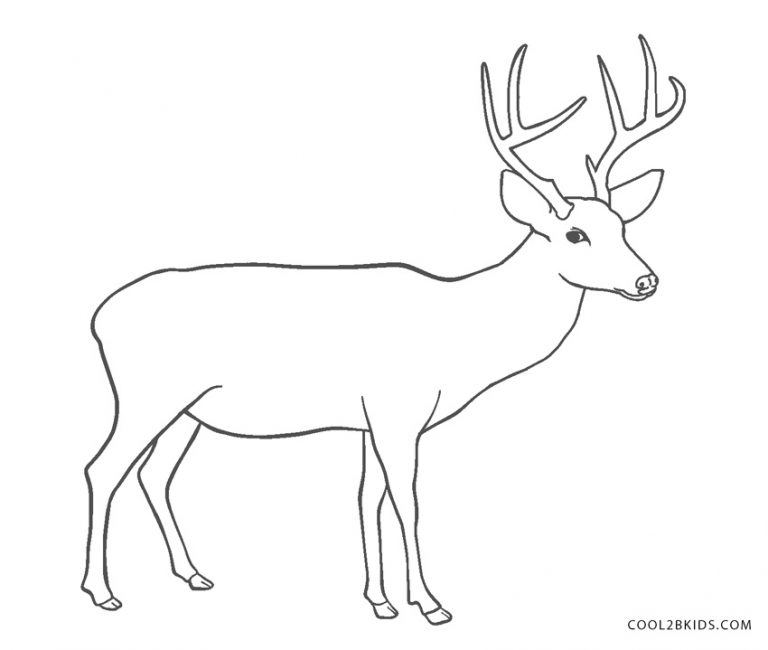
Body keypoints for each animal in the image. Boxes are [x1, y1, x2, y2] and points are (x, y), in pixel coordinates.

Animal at [81, 35, 685, 625]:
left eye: (623, 225)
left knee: (154, 475)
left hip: (187, 411)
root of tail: (99, 317)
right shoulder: (399, 409)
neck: (464, 336)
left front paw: (380, 600)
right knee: (103, 468)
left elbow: (366, 497)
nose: (646, 280)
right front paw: (431, 603)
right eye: (575, 234)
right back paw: (102, 591)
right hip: (147, 394)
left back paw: (193, 574)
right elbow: (406, 501)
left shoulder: (371, 419)